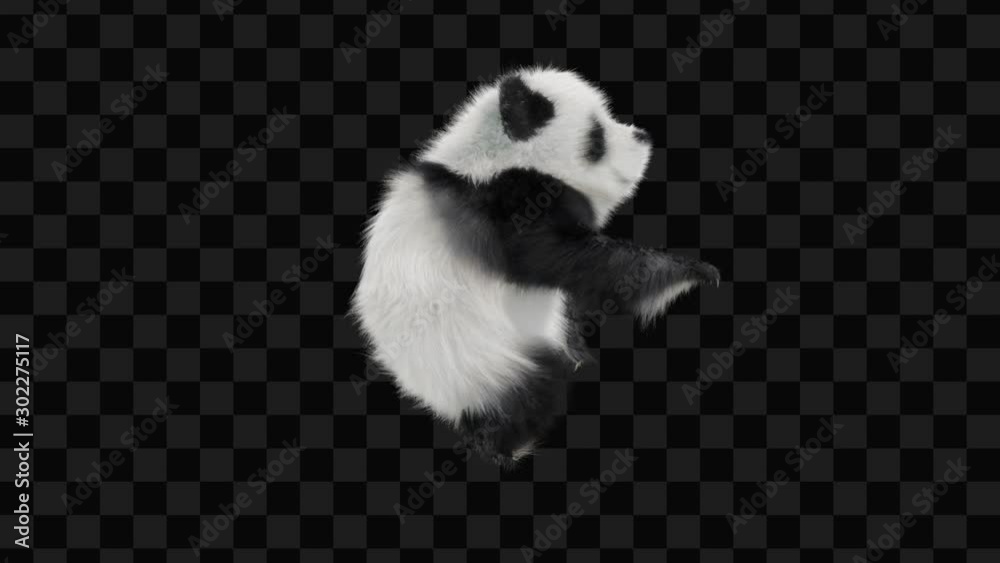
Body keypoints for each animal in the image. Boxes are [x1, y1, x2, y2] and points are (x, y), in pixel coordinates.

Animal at [352, 67, 720, 468]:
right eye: (596, 138)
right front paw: (693, 273)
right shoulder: (513, 208)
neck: (497, 156)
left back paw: (576, 362)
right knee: (532, 391)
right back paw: (515, 444)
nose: (643, 136)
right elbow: (569, 258)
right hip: (480, 361)